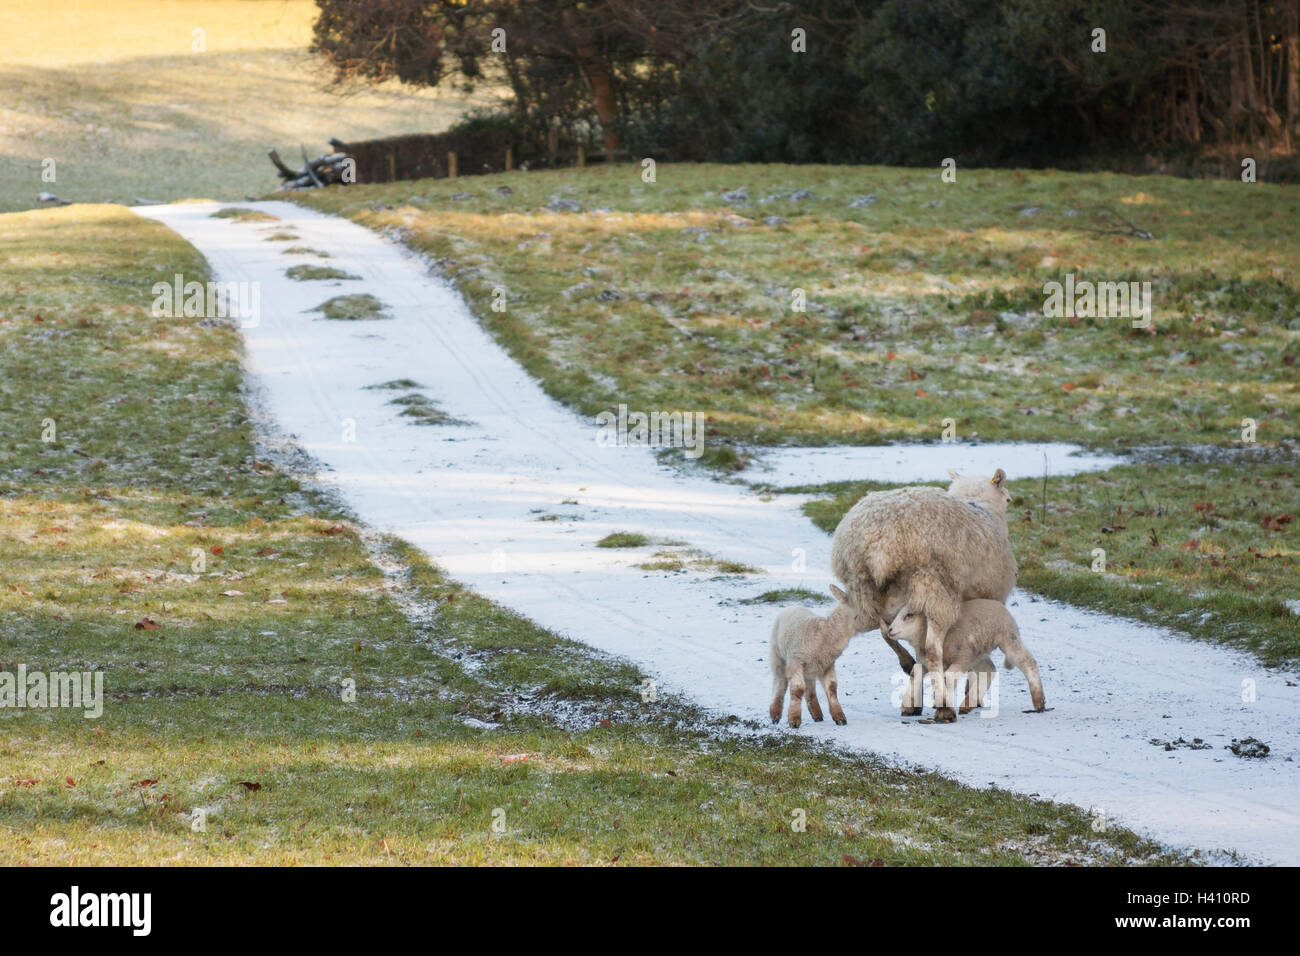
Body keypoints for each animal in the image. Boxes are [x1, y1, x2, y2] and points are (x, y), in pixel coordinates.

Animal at [769, 584, 871, 728]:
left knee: (810, 688)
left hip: (811, 668)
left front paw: (840, 717)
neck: (825, 634)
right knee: (779, 682)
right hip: (778, 654)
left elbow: (832, 688)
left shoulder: (827, 664)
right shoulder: (795, 661)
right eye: (863, 608)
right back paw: (775, 715)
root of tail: (792, 606)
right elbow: (798, 689)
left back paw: (817, 714)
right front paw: (794, 720)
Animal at [830, 468, 1016, 722]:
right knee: (931, 649)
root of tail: (880, 542)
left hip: (873, 589)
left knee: (886, 631)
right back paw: (944, 707)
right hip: (933, 588)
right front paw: (970, 694)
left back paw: (910, 683)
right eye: (1008, 499)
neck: (977, 504)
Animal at [887, 598, 1045, 714]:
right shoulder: (926, 663)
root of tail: (998, 604)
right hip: (978, 653)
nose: (890, 630)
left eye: (909, 615)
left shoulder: (962, 657)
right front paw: (907, 705)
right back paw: (969, 703)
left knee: (1027, 661)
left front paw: (941, 704)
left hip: (1007, 637)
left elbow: (949, 677)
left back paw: (1039, 701)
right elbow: (915, 674)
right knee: (989, 670)